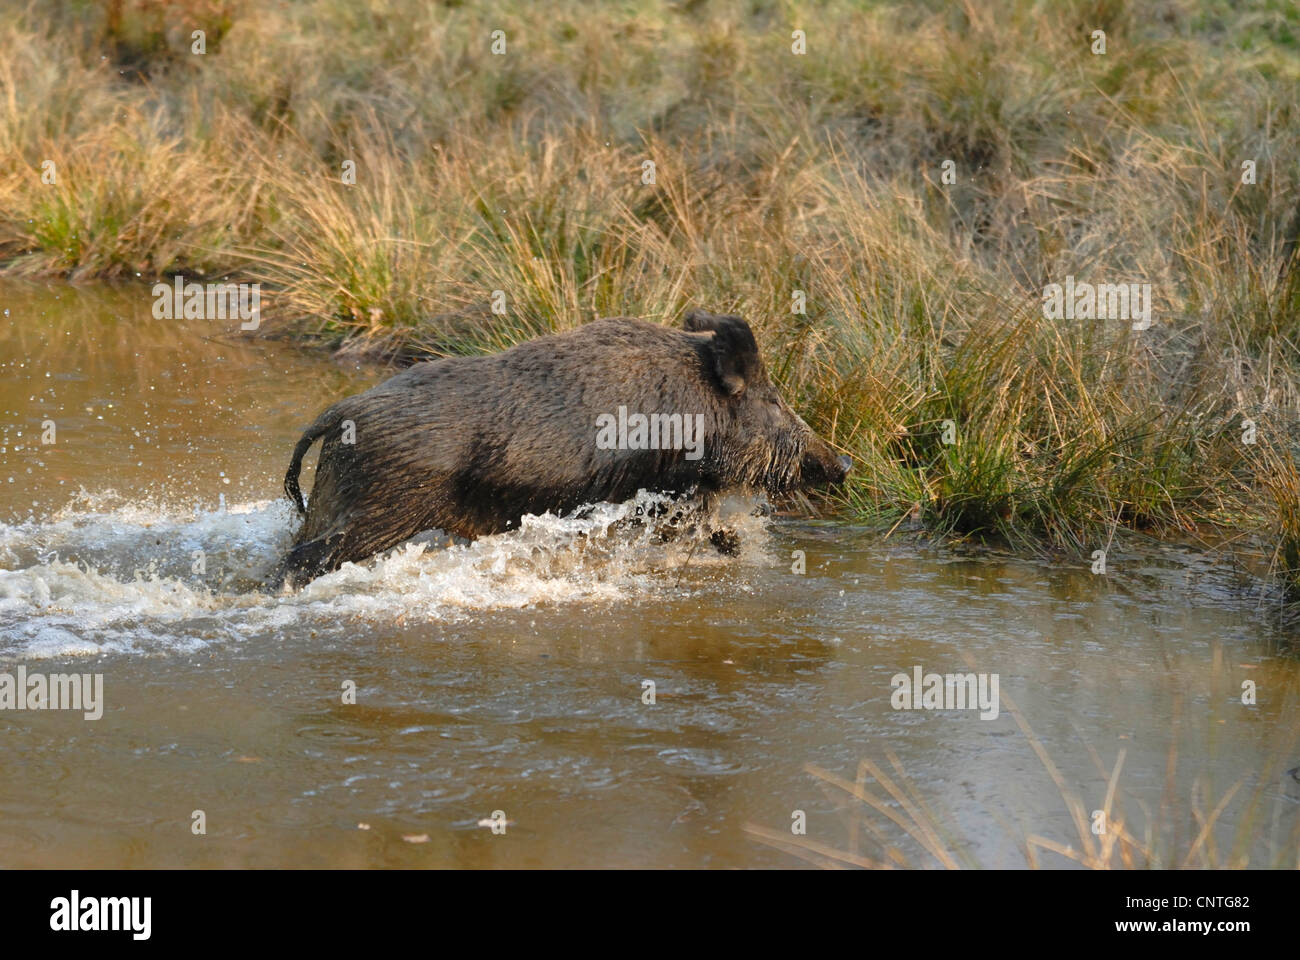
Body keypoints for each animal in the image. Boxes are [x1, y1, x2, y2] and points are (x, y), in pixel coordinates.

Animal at [270, 308, 850, 587]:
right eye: (773, 399)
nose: (842, 462)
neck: (694, 410)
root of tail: (337, 413)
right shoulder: (657, 489)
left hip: (334, 502)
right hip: (374, 510)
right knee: (296, 563)